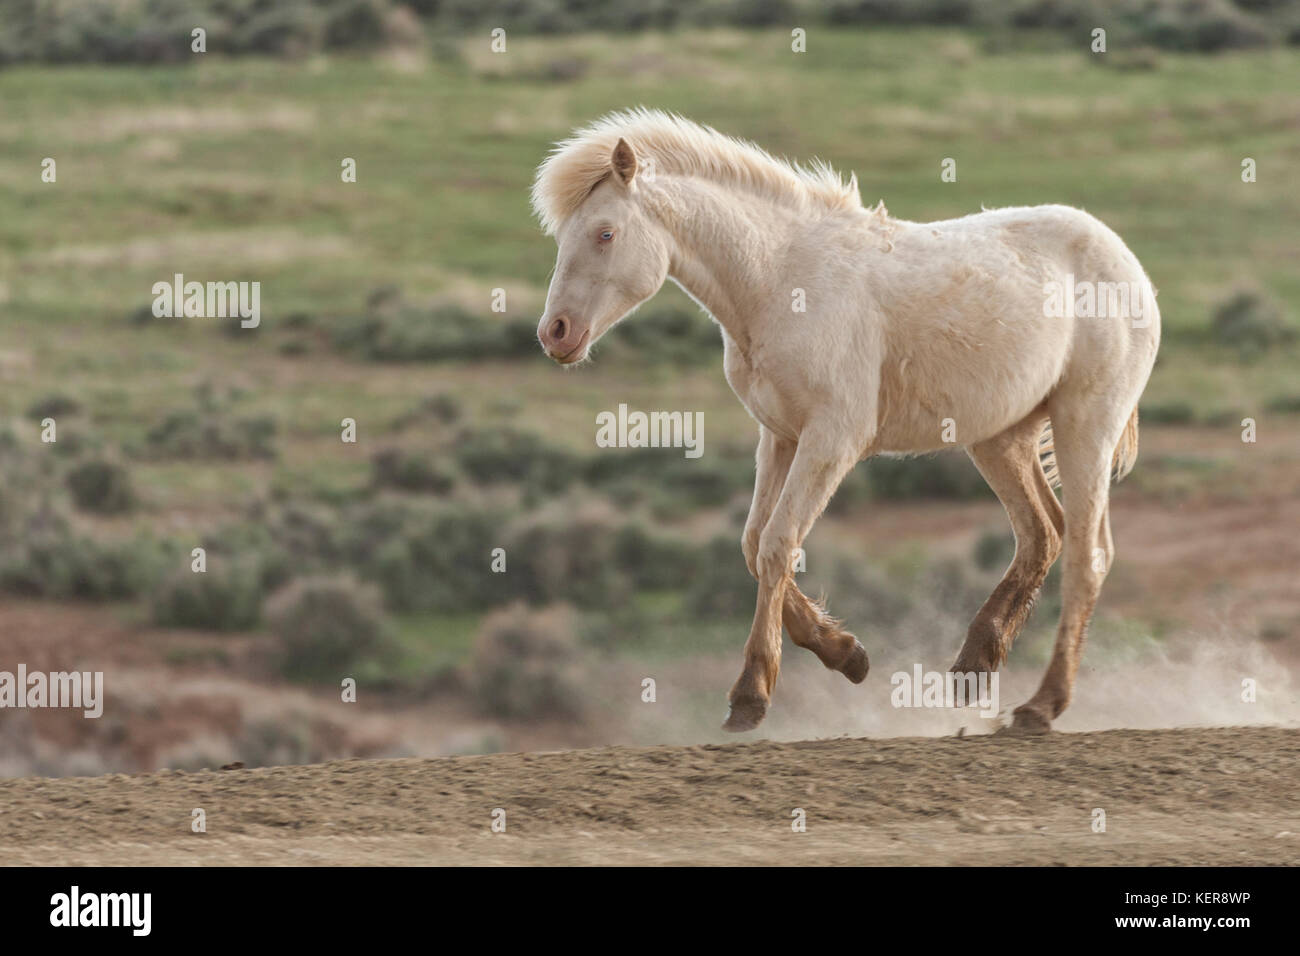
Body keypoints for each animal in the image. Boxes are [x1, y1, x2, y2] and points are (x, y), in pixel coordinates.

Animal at [530, 109, 1160, 734]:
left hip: (1084, 426)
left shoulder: (831, 440)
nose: (554, 333)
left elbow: (778, 544)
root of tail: (1125, 261)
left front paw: (751, 696)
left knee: (1085, 555)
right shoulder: (780, 437)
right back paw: (973, 668)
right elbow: (753, 543)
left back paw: (1040, 705)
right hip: (1001, 439)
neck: (780, 278)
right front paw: (846, 654)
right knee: (1041, 533)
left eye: (604, 232)